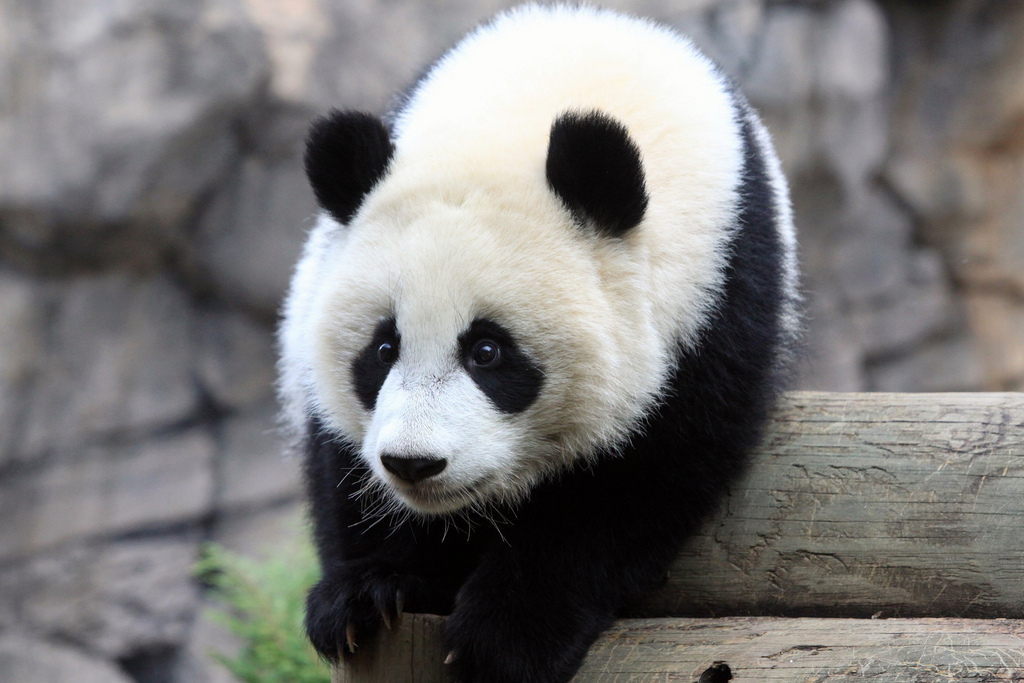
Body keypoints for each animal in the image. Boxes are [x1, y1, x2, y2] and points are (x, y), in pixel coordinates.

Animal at [278, 4, 800, 682]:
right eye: (383, 349)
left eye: (487, 351)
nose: (414, 463)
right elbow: (343, 464)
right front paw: (366, 594)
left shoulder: (718, 294)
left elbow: (634, 481)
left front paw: (504, 636)